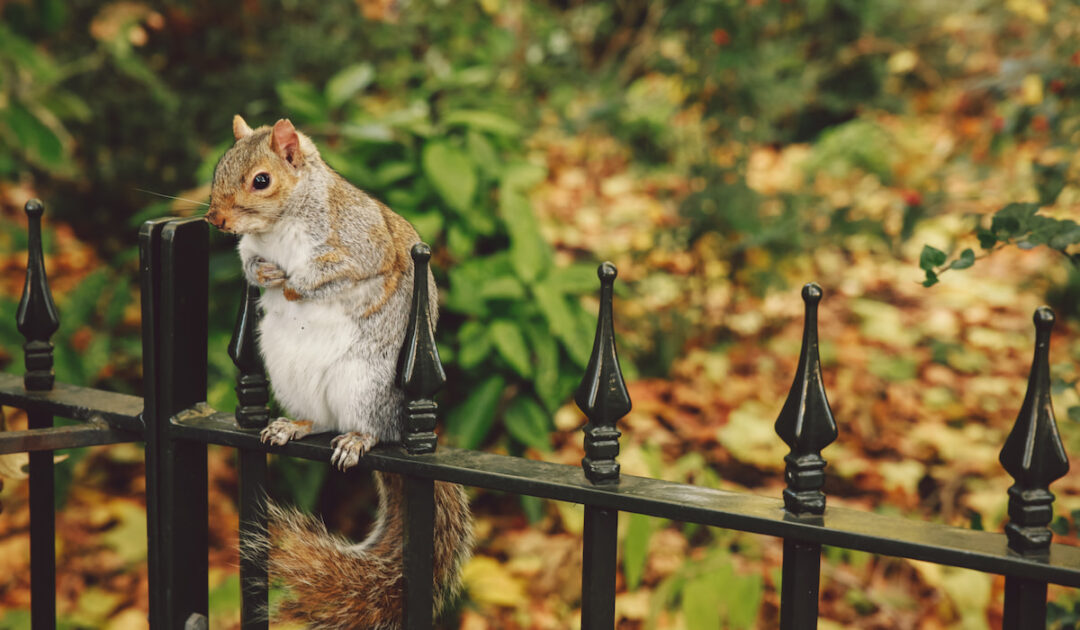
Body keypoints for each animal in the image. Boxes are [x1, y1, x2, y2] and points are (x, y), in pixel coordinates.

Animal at [205, 115, 472, 629]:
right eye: (219, 167)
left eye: (261, 181)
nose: (216, 220)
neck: (279, 227)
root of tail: (400, 426)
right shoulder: (250, 248)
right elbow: (248, 263)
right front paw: (265, 274)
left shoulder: (359, 240)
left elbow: (342, 269)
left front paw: (293, 283)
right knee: (321, 420)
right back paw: (293, 426)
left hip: (365, 382)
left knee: (367, 427)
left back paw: (358, 439)